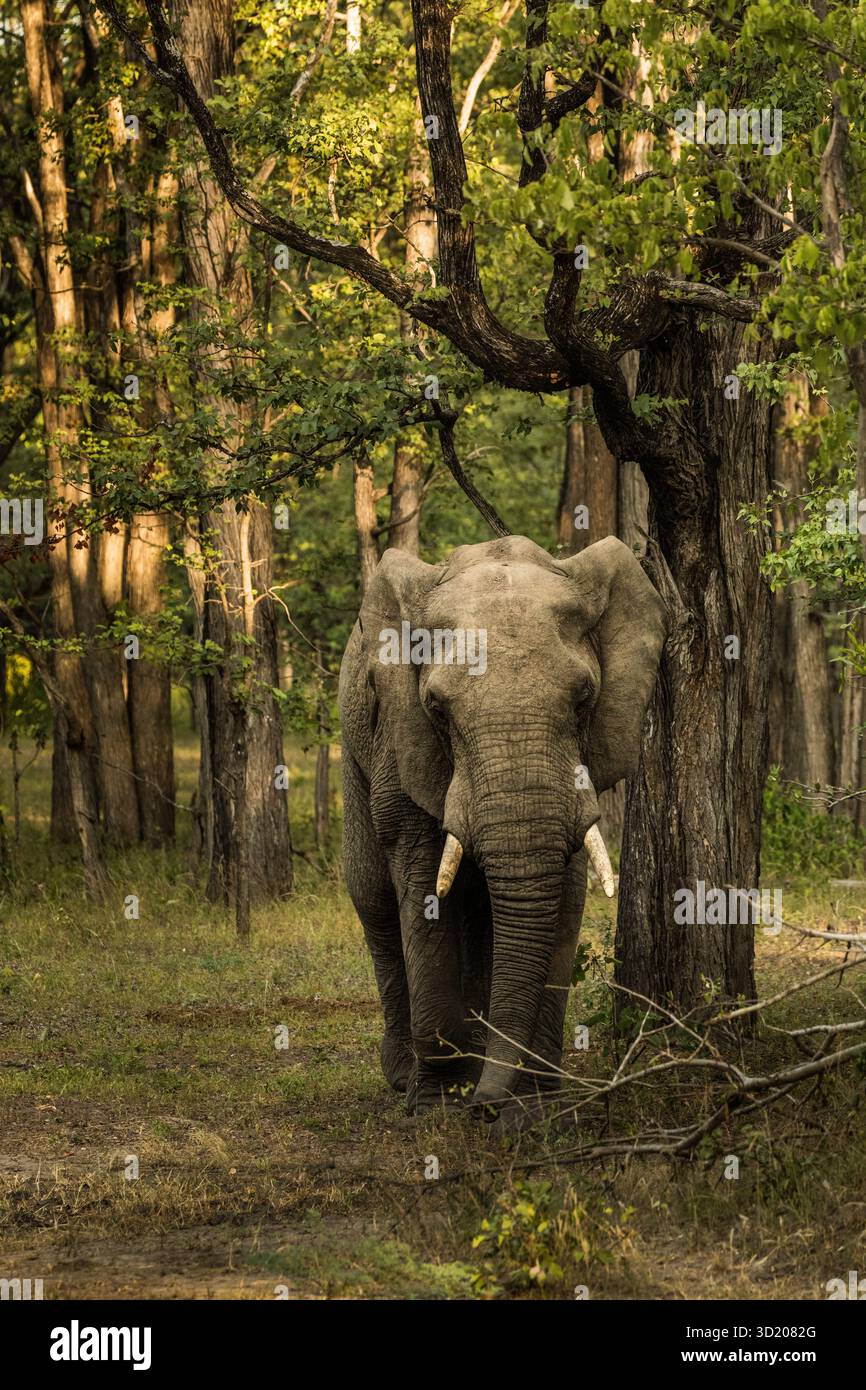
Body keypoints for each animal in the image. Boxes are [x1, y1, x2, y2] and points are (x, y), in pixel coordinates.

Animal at [339, 534, 668, 1116]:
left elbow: (562, 890)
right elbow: (422, 882)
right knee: (374, 898)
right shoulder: (400, 741)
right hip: (355, 753)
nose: (484, 1107)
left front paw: (530, 1107)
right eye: (436, 708)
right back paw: (408, 1076)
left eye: (584, 699)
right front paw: (438, 1103)